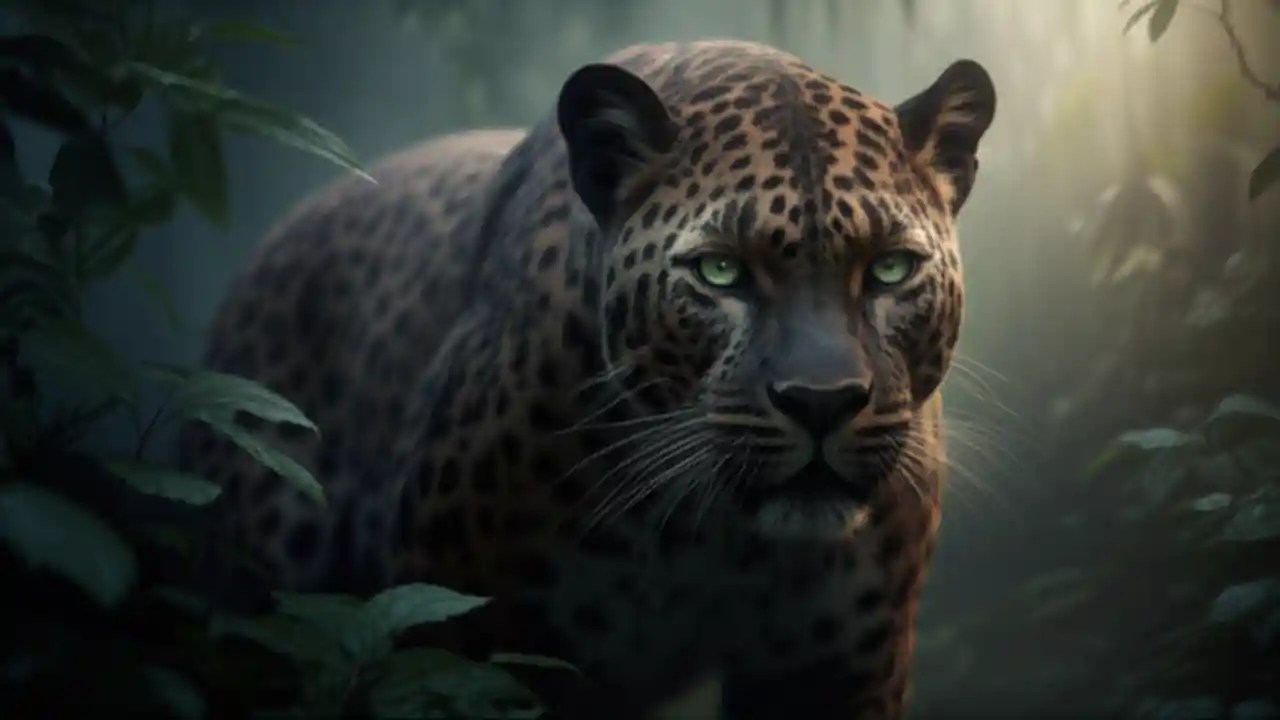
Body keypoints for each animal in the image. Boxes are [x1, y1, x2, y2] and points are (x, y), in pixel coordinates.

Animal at [182, 39, 996, 719]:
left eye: (890, 268)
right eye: (720, 271)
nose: (821, 403)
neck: (700, 535)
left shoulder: (837, 669)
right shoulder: (463, 646)